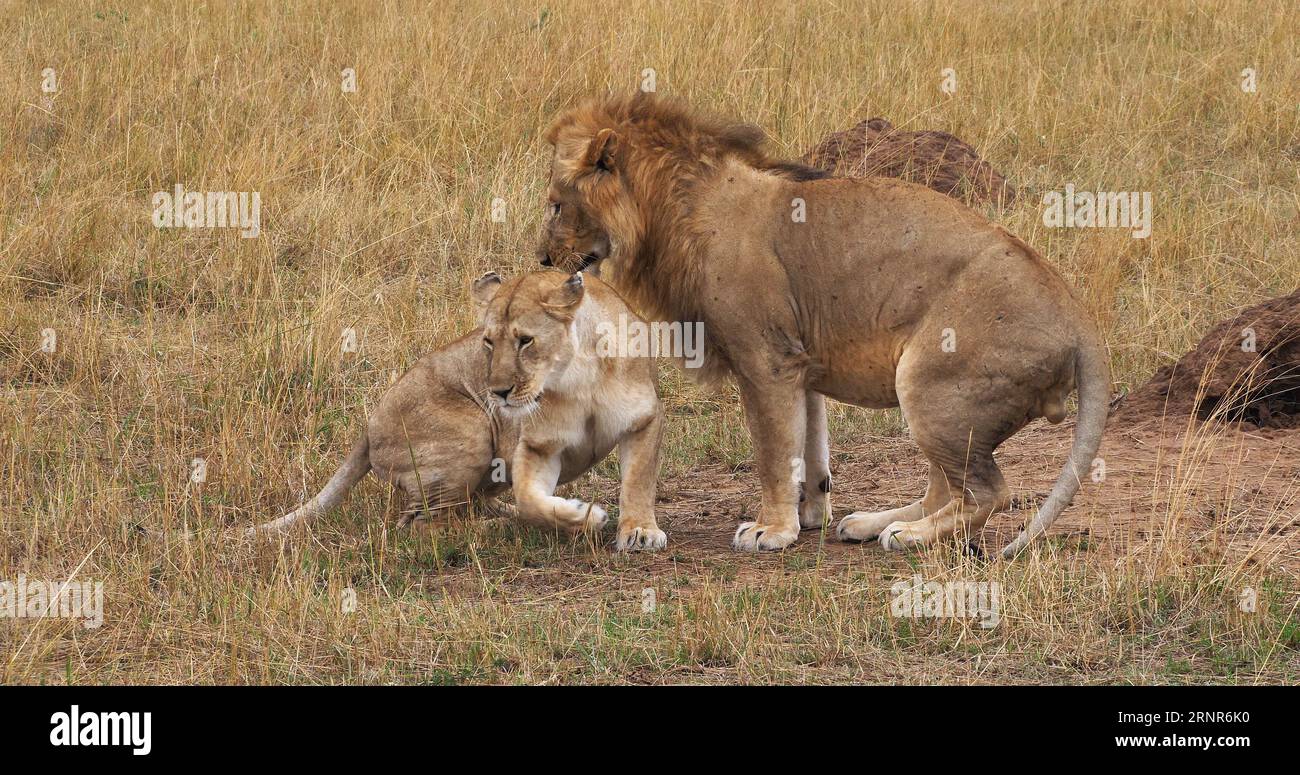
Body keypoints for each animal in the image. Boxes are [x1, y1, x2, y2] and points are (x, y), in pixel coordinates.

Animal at [256, 270, 667, 552]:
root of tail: (368, 428)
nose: (498, 393)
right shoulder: (536, 446)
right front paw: (585, 517)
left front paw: (639, 532)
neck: (578, 378)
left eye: (525, 341)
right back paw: (496, 530)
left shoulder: (644, 419)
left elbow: (638, 480)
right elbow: (531, 500)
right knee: (421, 526)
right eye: (488, 342)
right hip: (471, 432)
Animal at [537, 93, 1109, 558]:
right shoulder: (800, 360)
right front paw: (809, 514)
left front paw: (771, 531)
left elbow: (772, 451)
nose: (542, 259)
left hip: (930, 382)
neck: (675, 207)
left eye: (558, 205)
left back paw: (909, 536)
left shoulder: (765, 359)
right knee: (946, 488)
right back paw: (874, 523)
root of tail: (1077, 313)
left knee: (989, 491)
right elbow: (808, 446)